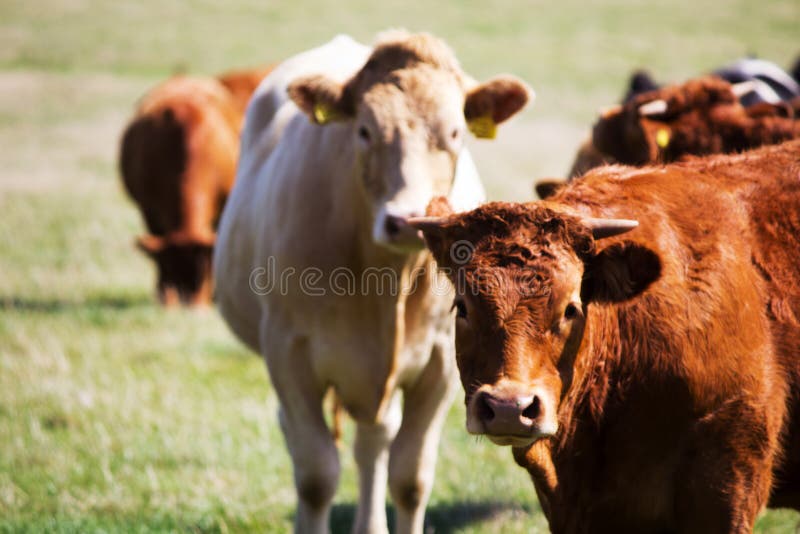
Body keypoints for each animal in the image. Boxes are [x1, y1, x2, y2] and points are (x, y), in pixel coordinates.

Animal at [213, 33, 530, 534]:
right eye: (363, 131)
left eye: (455, 133)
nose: (406, 220)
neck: (384, 282)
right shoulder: (287, 351)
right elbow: (316, 474)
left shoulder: (442, 361)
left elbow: (410, 475)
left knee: (373, 442)